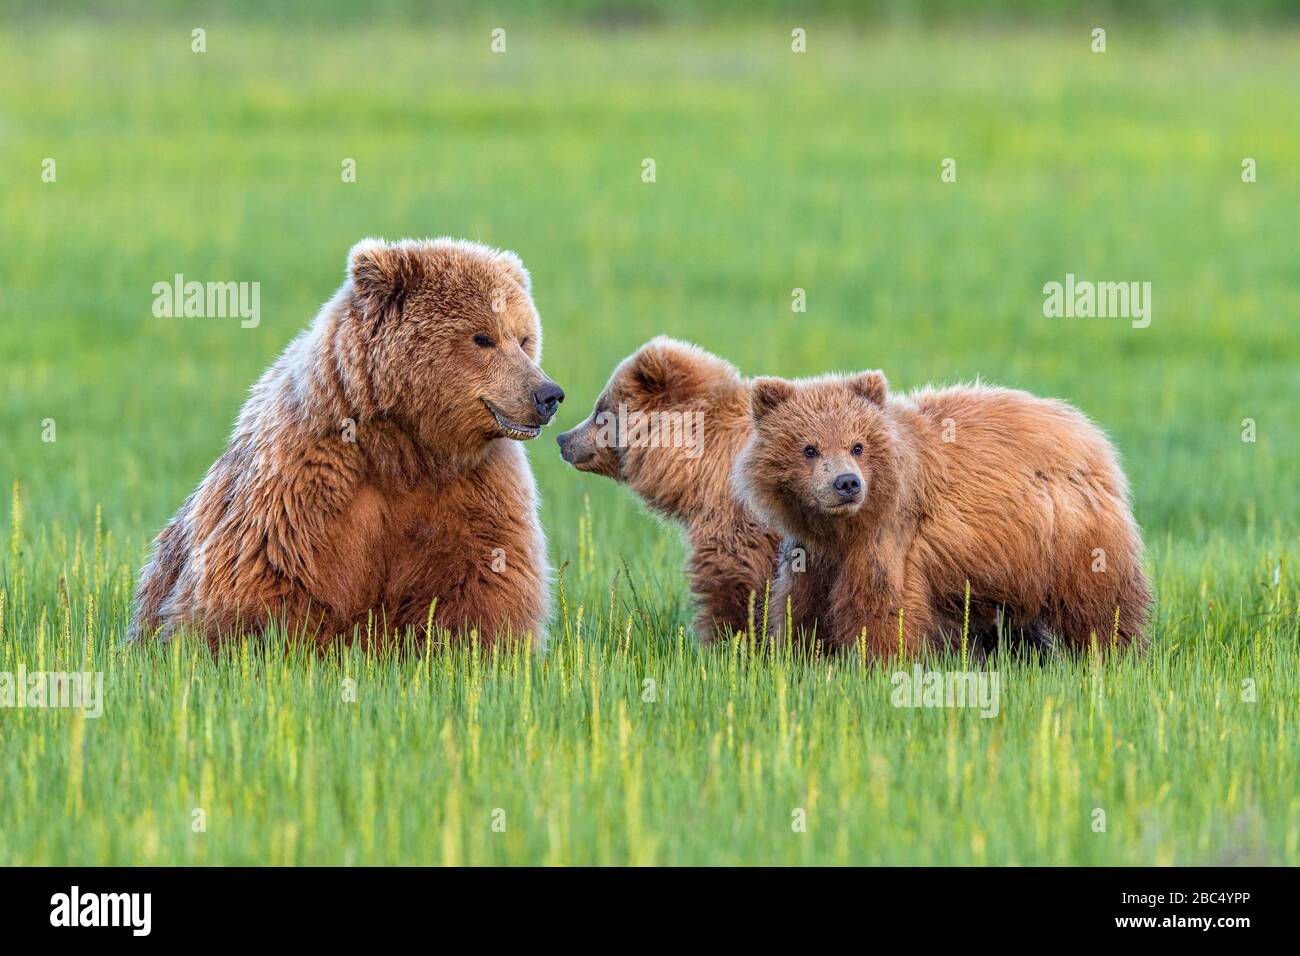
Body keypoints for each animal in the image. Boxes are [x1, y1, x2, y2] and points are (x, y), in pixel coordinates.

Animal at [129, 237, 565, 650]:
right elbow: (268, 572)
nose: (547, 394)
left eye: (524, 338)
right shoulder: (309, 479)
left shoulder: (478, 486)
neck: (408, 449)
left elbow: (486, 578)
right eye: (482, 337)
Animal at [732, 371, 1151, 656]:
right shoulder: (812, 555)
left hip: (1071, 536)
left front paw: (877, 663)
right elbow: (802, 610)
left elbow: (882, 609)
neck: (842, 530)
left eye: (857, 445)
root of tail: (1092, 436)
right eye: (809, 448)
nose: (847, 483)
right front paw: (803, 658)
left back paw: (1113, 654)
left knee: (1099, 604)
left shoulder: (891, 536)